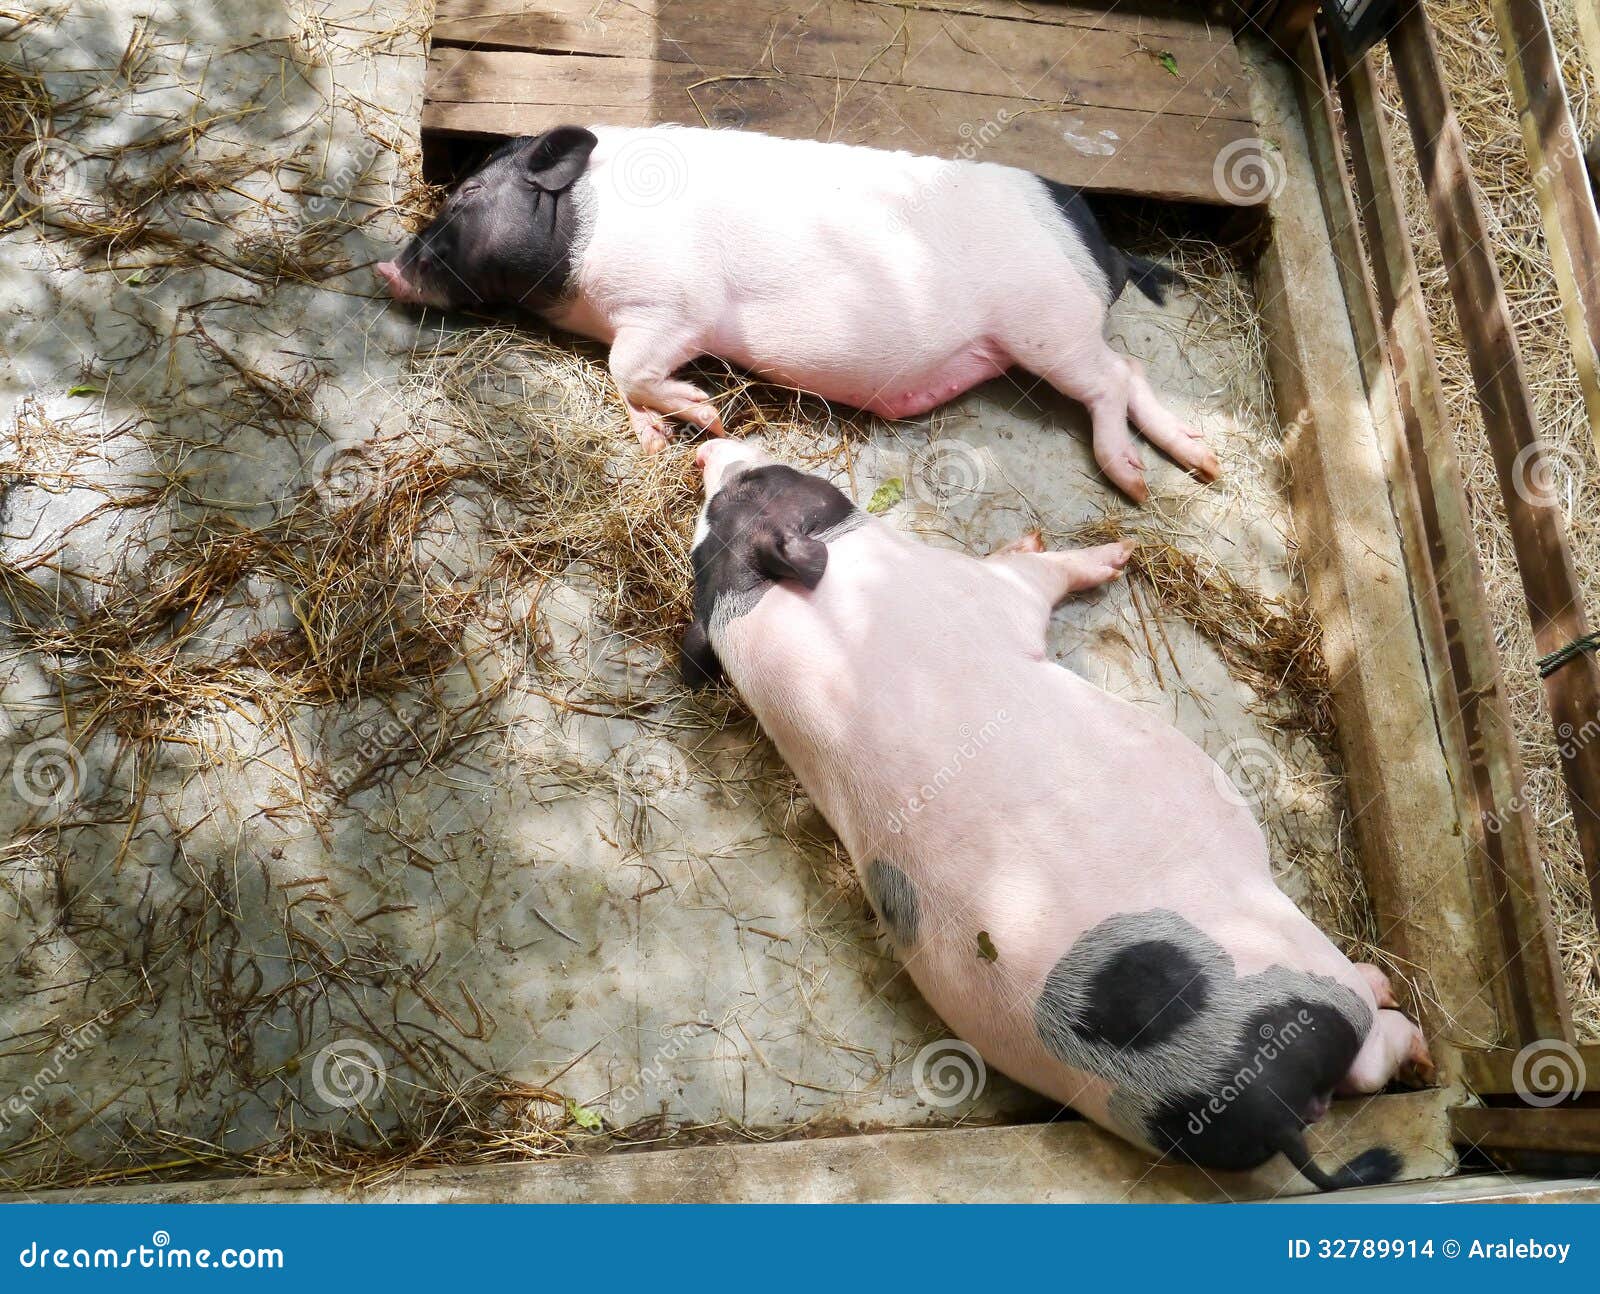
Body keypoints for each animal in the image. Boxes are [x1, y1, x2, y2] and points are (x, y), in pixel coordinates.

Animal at [376, 124, 1220, 503]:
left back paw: (1137, 483)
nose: (385, 267)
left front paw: (707, 416)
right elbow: (619, 378)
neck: (582, 228)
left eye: (467, 195)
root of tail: (1100, 243)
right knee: (1131, 371)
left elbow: (630, 365)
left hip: (1044, 325)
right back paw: (1200, 462)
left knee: (1113, 378)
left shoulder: (675, 305)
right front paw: (657, 441)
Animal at [683, 438, 1433, 1192]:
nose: (706, 450)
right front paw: (1115, 551)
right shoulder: (980, 589)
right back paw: (1403, 1018)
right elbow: (1035, 575)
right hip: (1303, 962)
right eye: (760, 482)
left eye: (728, 500)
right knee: (1368, 1050)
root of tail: (1255, 1099)